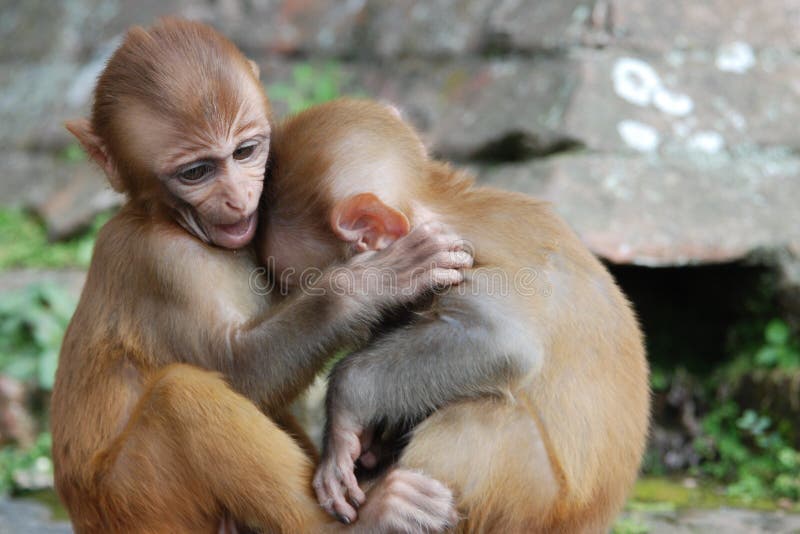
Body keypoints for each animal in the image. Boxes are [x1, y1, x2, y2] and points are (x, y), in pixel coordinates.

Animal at [50, 20, 469, 533]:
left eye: (245, 151)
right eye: (196, 172)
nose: (238, 197)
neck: (174, 224)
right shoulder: (162, 264)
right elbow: (240, 371)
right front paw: (371, 283)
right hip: (135, 503)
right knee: (181, 395)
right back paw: (368, 516)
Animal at [258, 98, 651, 533]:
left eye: (295, 281)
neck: (443, 207)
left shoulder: (468, 260)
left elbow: (502, 339)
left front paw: (345, 410)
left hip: (530, 501)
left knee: (477, 415)